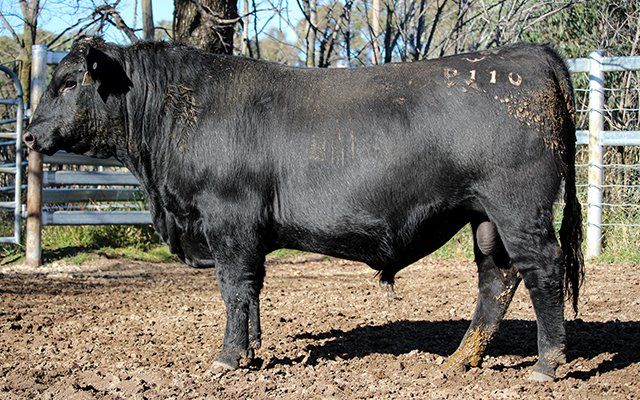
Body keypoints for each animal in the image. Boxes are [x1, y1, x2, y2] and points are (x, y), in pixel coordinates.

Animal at [25, 37, 584, 382]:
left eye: (69, 82)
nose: (28, 134)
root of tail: (526, 54)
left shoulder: (228, 220)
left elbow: (234, 287)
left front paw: (228, 358)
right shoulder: (245, 233)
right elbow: (250, 291)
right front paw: (251, 350)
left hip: (518, 208)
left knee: (542, 270)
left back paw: (546, 364)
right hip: (485, 217)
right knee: (497, 279)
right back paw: (458, 361)